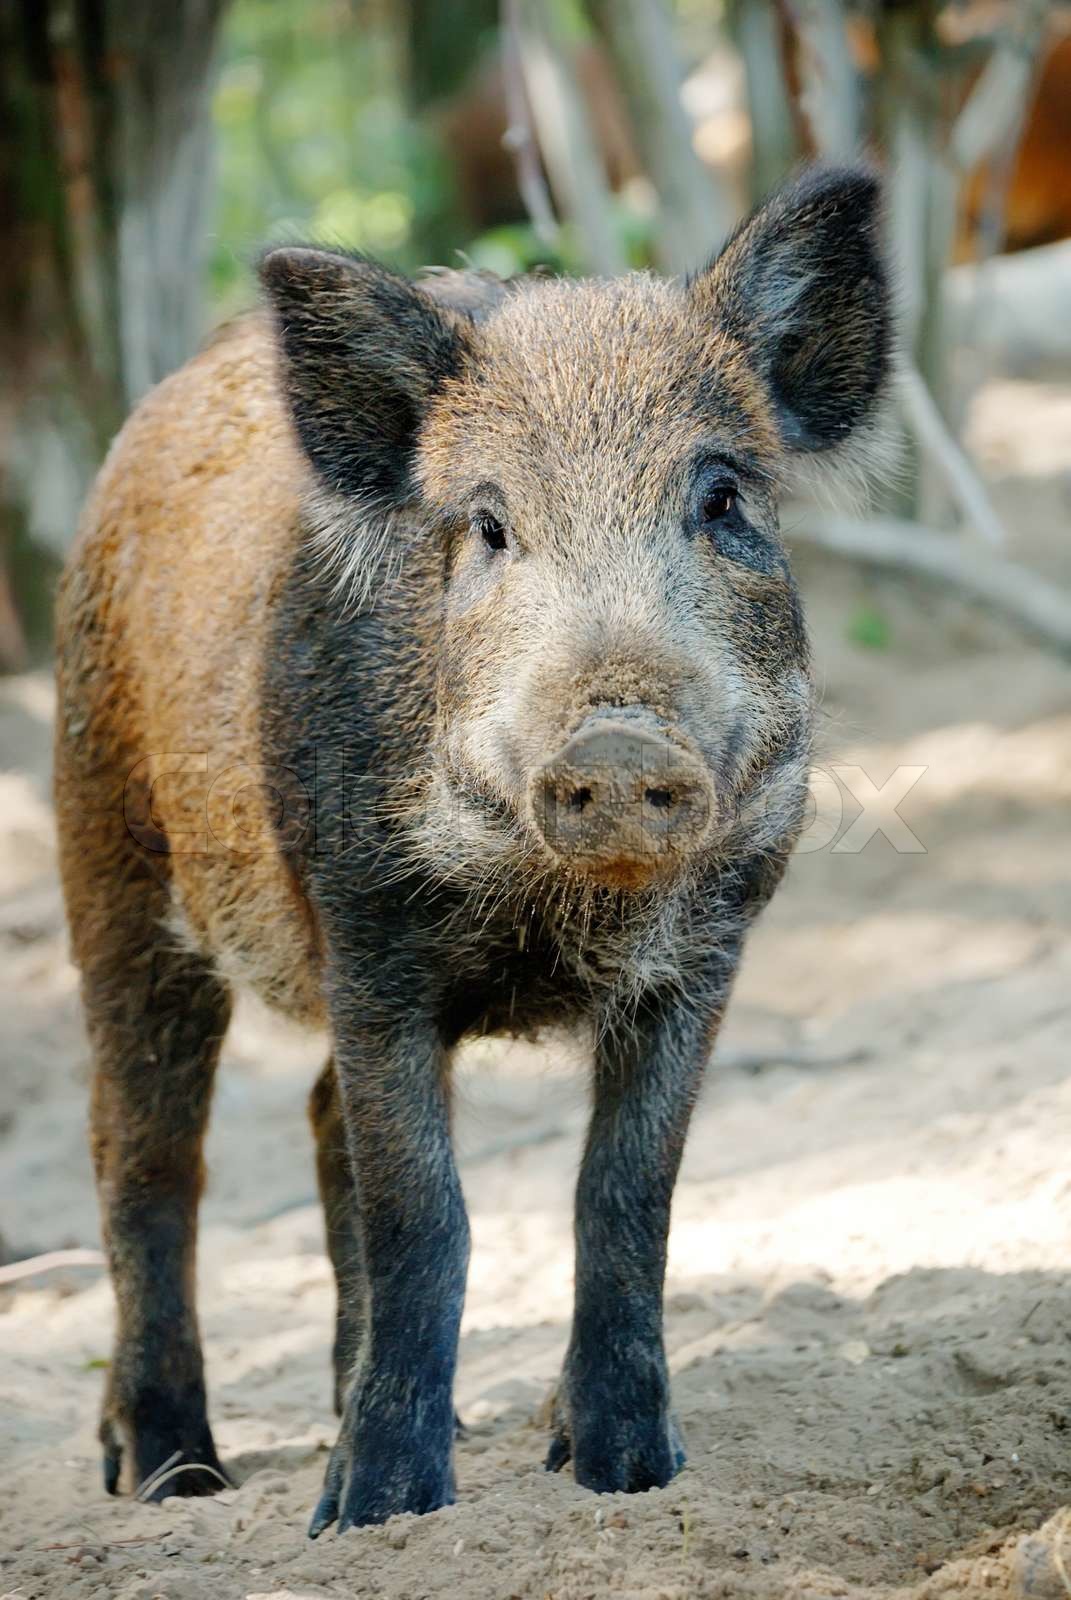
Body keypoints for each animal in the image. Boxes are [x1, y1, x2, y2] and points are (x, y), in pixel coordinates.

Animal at [53, 165, 892, 1534]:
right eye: (490, 526)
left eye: (722, 499)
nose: (615, 738)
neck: (555, 915)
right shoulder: (365, 934)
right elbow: (424, 1211)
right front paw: (371, 1515)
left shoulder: (708, 952)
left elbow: (624, 1192)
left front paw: (621, 1473)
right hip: (107, 847)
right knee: (147, 1152)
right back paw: (171, 1478)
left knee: (319, 1116)